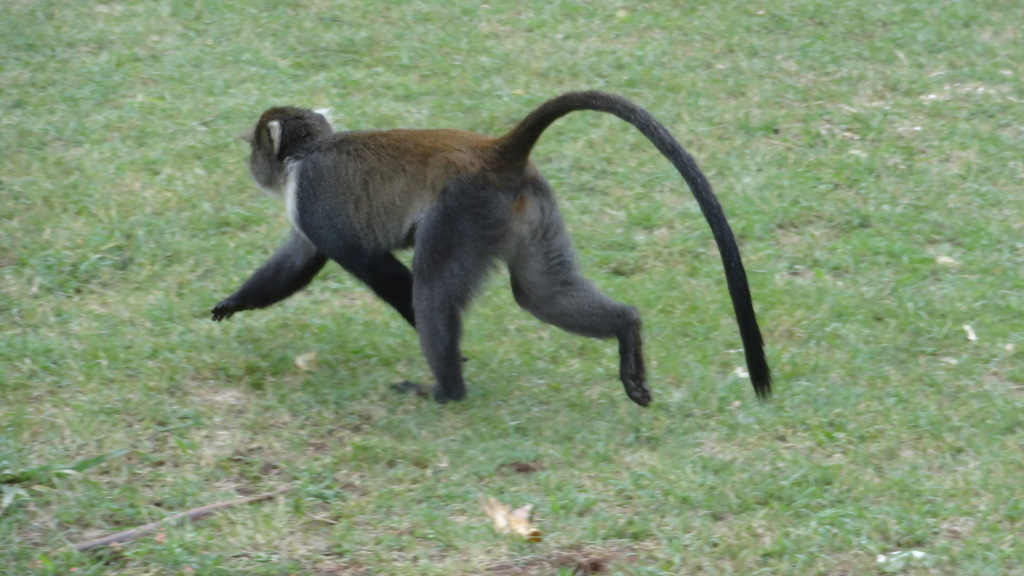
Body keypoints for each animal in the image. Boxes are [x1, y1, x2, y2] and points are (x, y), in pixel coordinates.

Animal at [211, 90, 770, 406]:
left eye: (256, 146)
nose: (249, 164)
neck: (308, 154)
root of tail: (493, 151)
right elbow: (298, 260)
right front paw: (234, 303)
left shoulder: (312, 200)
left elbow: (371, 266)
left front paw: (455, 360)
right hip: (524, 209)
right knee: (540, 293)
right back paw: (626, 328)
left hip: (463, 212)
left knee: (432, 288)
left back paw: (446, 391)